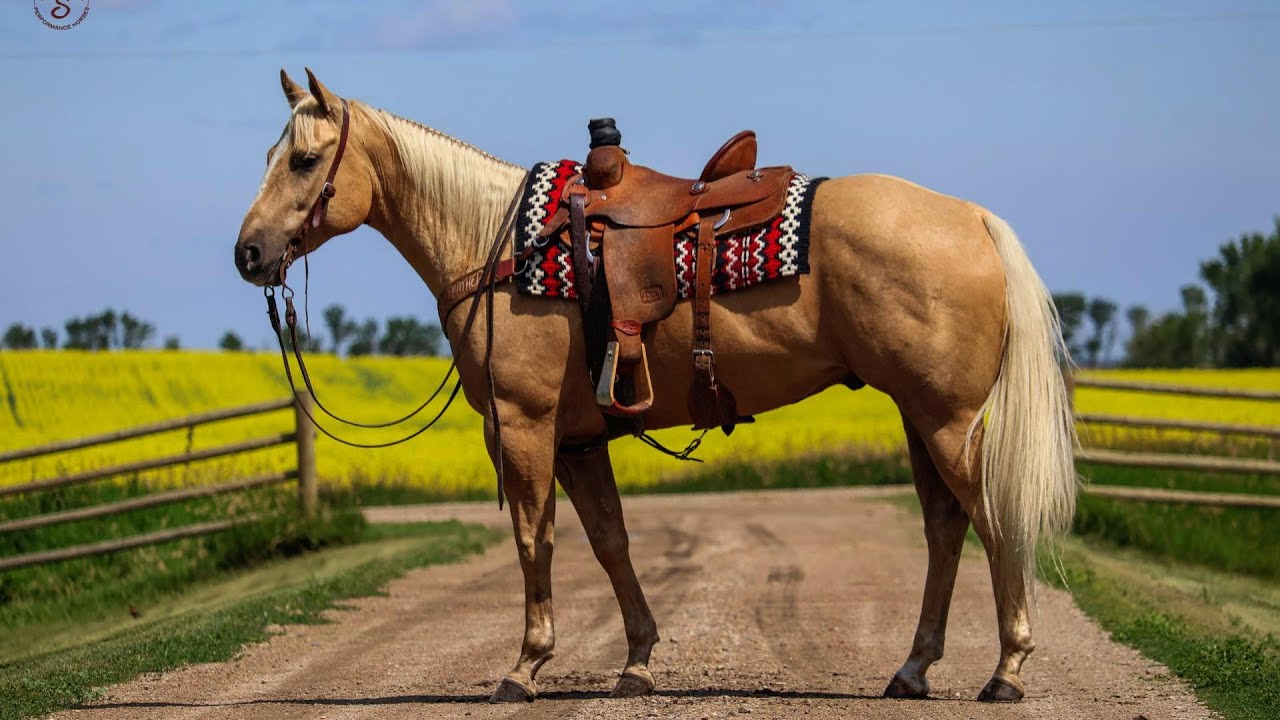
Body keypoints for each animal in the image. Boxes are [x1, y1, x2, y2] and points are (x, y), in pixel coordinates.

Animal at [234, 68, 1076, 704]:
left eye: (304, 161)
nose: (248, 253)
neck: (499, 245)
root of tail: (971, 218)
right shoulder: (578, 440)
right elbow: (609, 542)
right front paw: (637, 660)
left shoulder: (525, 425)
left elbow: (533, 539)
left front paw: (525, 666)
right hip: (919, 415)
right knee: (944, 527)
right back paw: (913, 668)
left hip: (947, 419)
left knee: (991, 517)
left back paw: (1006, 670)